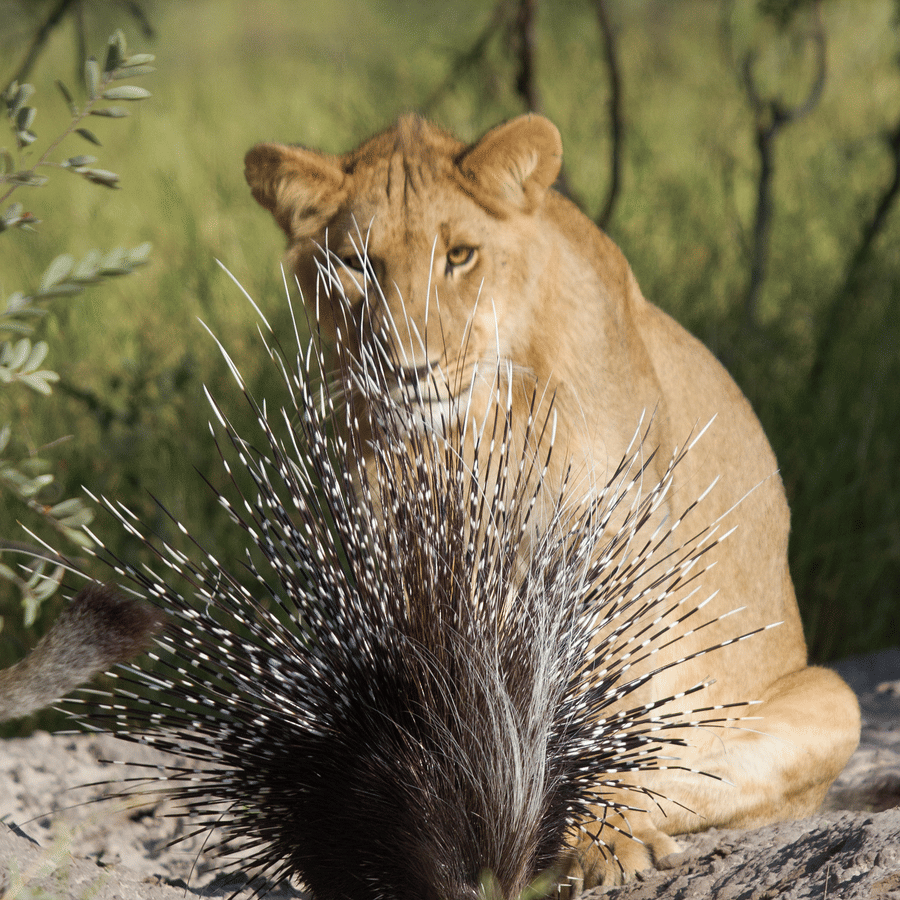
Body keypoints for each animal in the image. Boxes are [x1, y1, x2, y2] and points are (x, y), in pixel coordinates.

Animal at [244, 114, 860, 886]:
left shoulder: (614, 552)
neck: (462, 435)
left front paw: (602, 840)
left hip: (833, 699)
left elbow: (611, 710)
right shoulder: (394, 565)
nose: (407, 370)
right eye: (357, 265)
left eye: (461, 255)